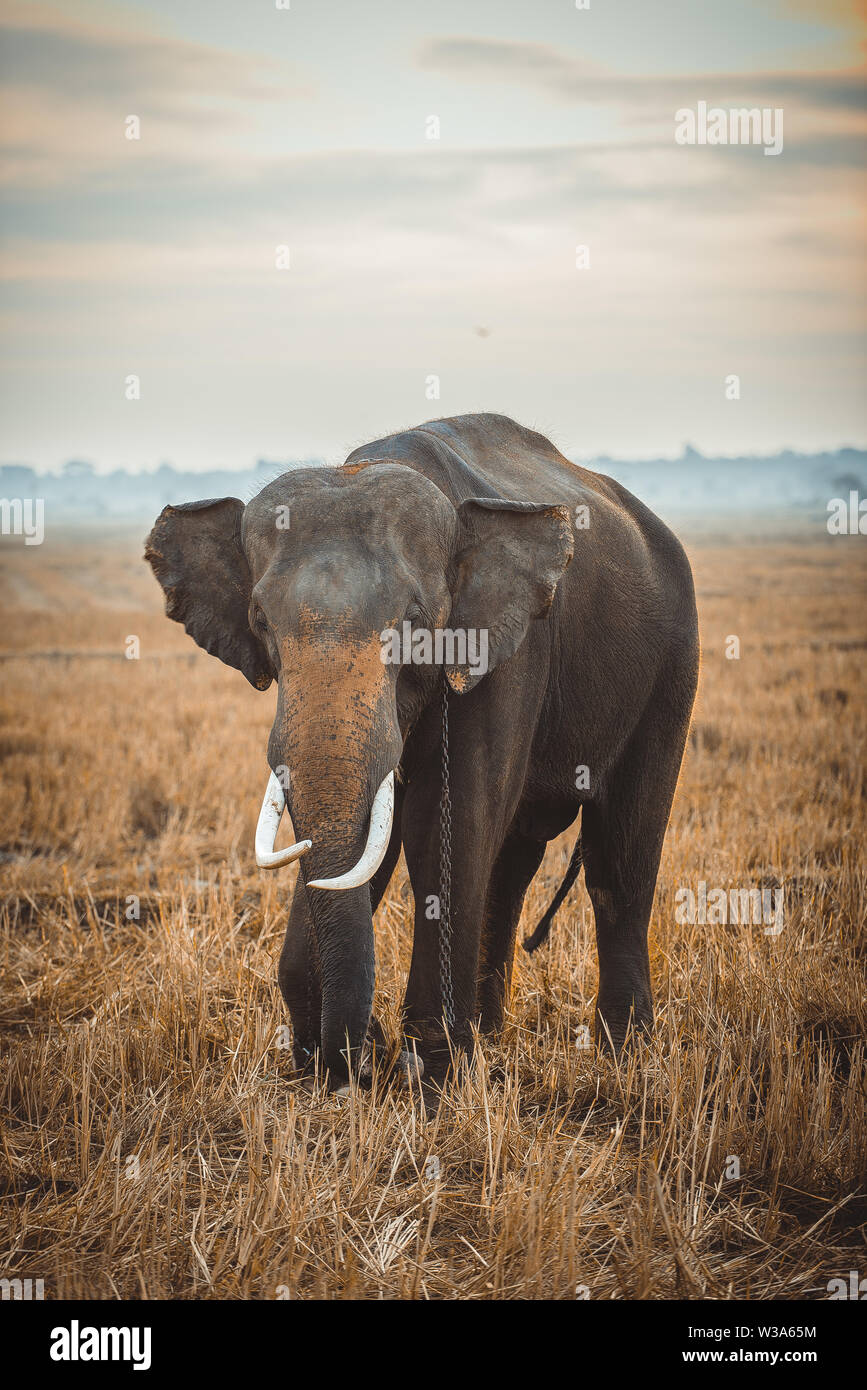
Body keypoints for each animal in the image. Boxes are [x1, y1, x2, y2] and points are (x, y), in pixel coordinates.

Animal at [145, 413, 699, 1091]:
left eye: (413, 621)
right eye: (261, 621)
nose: (355, 1060)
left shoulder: (505, 647)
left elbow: (443, 820)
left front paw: (428, 1075)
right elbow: (369, 842)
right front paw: (336, 1066)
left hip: (673, 664)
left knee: (619, 859)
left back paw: (623, 1052)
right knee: (512, 863)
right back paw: (490, 1035)